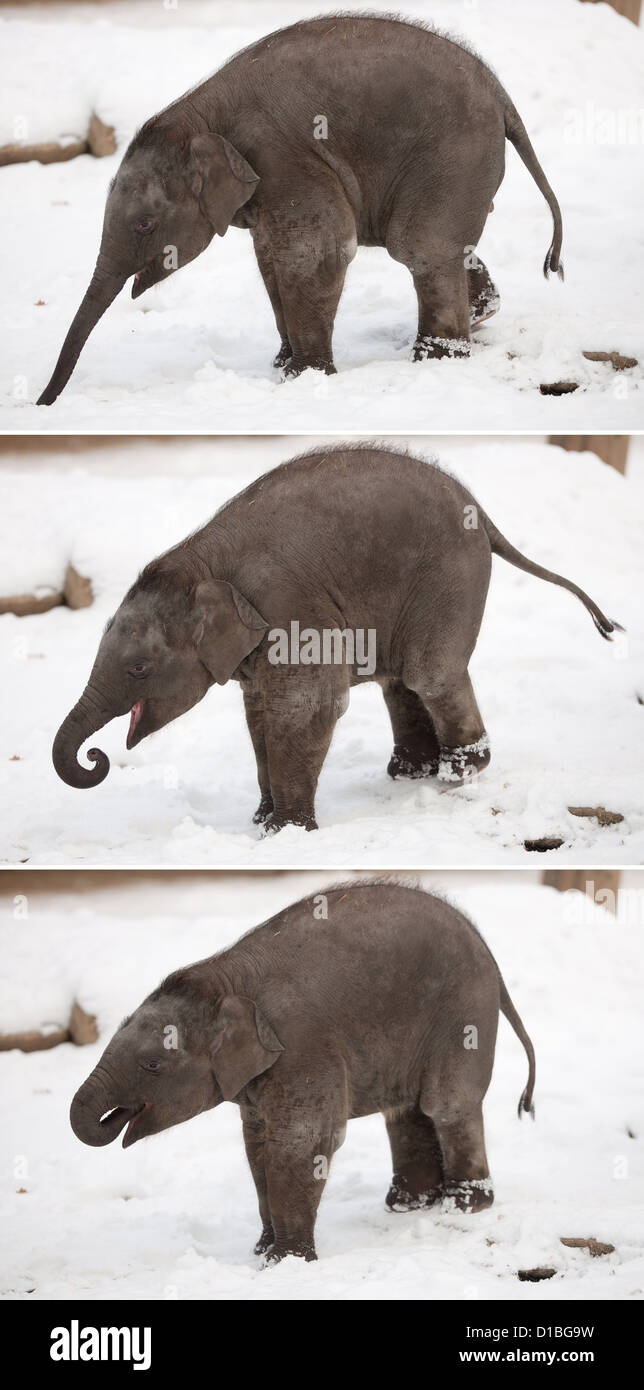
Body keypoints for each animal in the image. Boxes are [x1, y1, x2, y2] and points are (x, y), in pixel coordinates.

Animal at [37, 13, 563, 405]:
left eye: (145, 223)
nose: (42, 403)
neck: (199, 114)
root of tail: (502, 96)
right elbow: (270, 258)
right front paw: (283, 365)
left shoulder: (282, 156)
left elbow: (316, 252)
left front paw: (304, 378)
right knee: (440, 244)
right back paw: (482, 312)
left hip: (453, 155)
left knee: (419, 246)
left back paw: (437, 360)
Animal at [52, 444, 620, 833]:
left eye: (138, 669)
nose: (97, 757)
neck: (201, 562)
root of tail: (482, 513)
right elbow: (259, 714)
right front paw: (261, 822)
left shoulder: (291, 610)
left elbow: (306, 708)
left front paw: (285, 833)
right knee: (401, 680)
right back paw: (409, 775)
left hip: (450, 579)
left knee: (430, 673)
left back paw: (459, 773)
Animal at [69, 881, 536, 1263]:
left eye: (152, 1065)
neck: (225, 978)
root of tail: (487, 949)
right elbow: (257, 1145)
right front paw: (262, 1251)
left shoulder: (303, 1048)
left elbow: (301, 1142)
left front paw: (283, 1262)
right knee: (406, 1111)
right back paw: (407, 1205)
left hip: (463, 1013)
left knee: (447, 1104)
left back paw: (465, 1207)